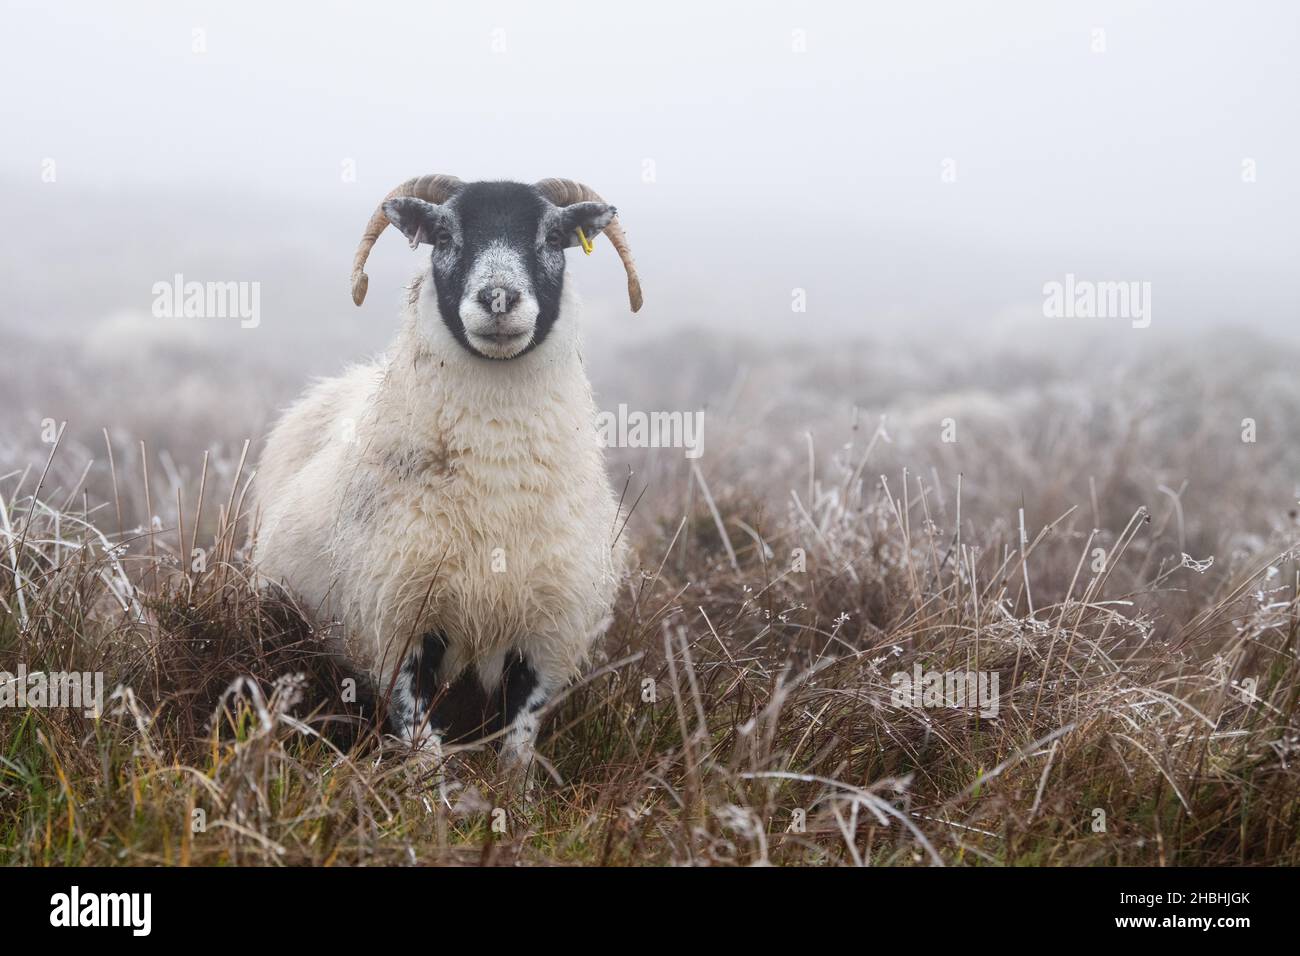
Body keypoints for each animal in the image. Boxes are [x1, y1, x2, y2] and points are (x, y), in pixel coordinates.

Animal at [251, 174, 643, 772]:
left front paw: (513, 794)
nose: (499, 299)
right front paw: (434, 795)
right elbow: (423, 748)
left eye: (553, 237)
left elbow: (518, 748)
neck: (497, 483)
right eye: (443, 235)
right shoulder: (396, 628)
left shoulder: (546, 636)